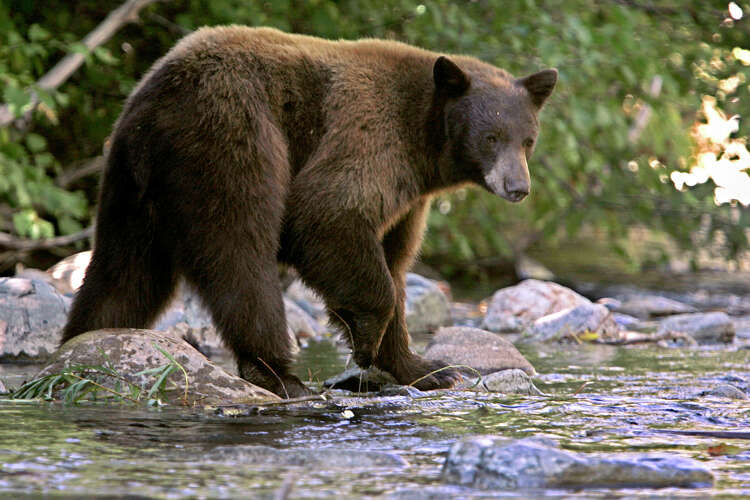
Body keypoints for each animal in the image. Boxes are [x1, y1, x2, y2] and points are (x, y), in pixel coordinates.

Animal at [60, 26, 557, 398]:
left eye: (527, 139)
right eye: (491, 137)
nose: (518, 187)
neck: (423, 139)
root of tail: (155, 104)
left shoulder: (411, 201)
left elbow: (396, 264)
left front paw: (428, 367)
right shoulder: (370, 133)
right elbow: (326, 213)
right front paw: (366, 339)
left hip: (129, 189)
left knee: (123, 274)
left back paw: (84, 343)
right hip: (230, 140)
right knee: (241, 257)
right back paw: (279, 373)